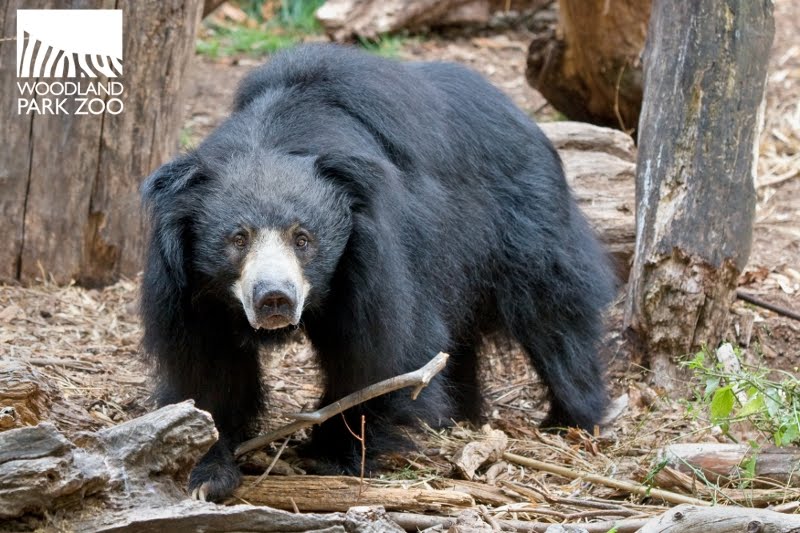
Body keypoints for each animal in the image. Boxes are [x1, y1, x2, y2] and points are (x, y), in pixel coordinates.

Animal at [140, 43, 615, 502]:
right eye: (238, 239)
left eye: (303, 238)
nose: (275, 298)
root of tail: (520, 114)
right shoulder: (189, 289)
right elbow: (207, 364)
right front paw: (207, 473)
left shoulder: (377, 257)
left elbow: (382, 352)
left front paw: (333, 454)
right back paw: (457, 415)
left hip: (526, 221)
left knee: (552, 315)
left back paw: (571, 418)